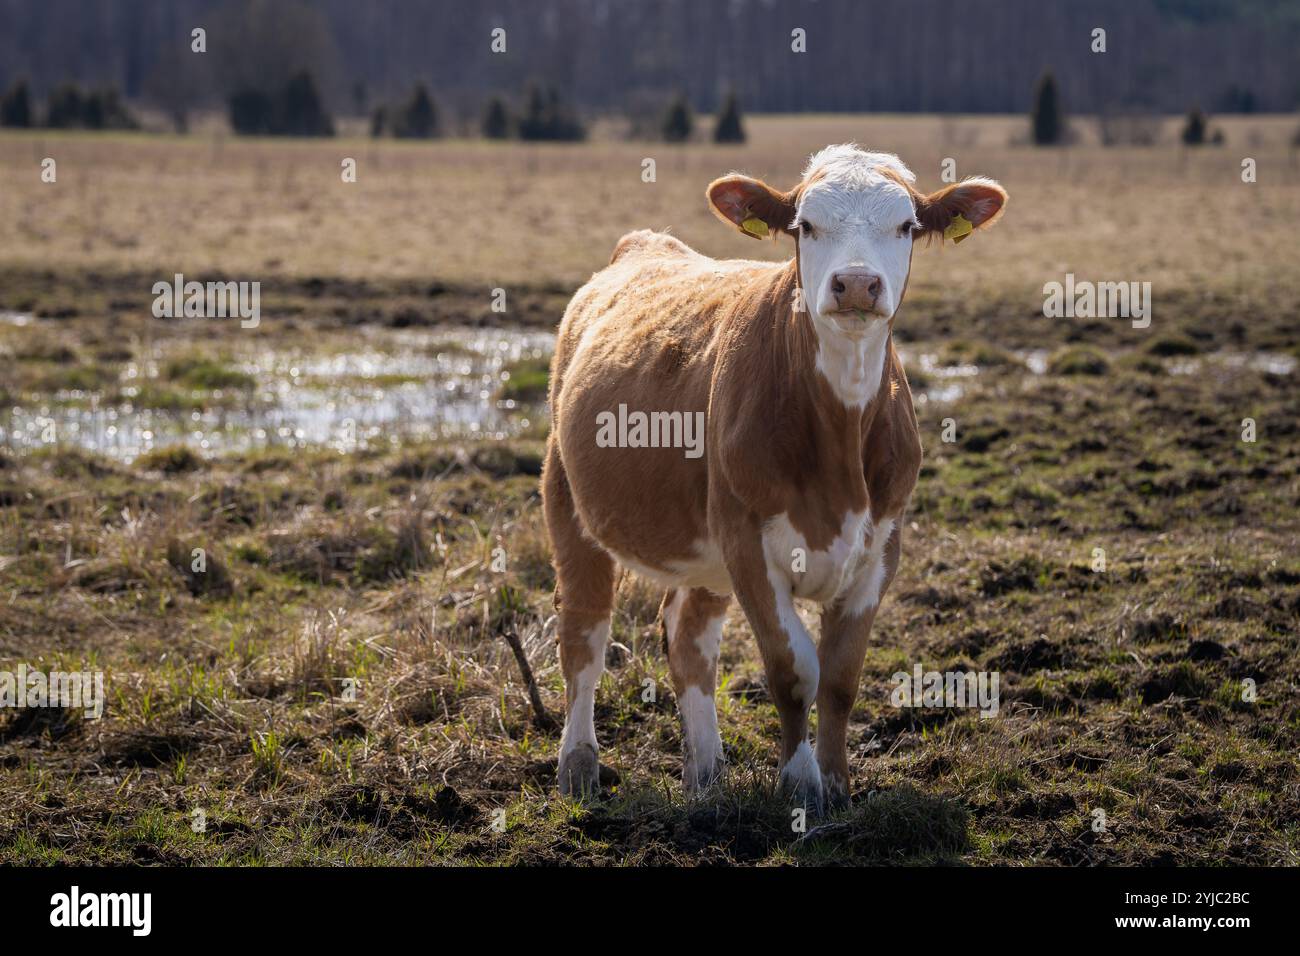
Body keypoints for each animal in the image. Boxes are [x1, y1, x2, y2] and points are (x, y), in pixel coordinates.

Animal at [543, 144, 1007, 810]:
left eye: (906, 226)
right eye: (805, 226)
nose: (857, 283)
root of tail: (645, 246)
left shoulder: (881, 549)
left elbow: (839, 676)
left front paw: (837, 784)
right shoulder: (749, 545)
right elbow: (793, 672)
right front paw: (800, 784)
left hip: (703, 547)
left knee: (689, 639)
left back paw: (707, 773)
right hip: (569, 500)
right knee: (584, 636)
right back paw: (579, 766)